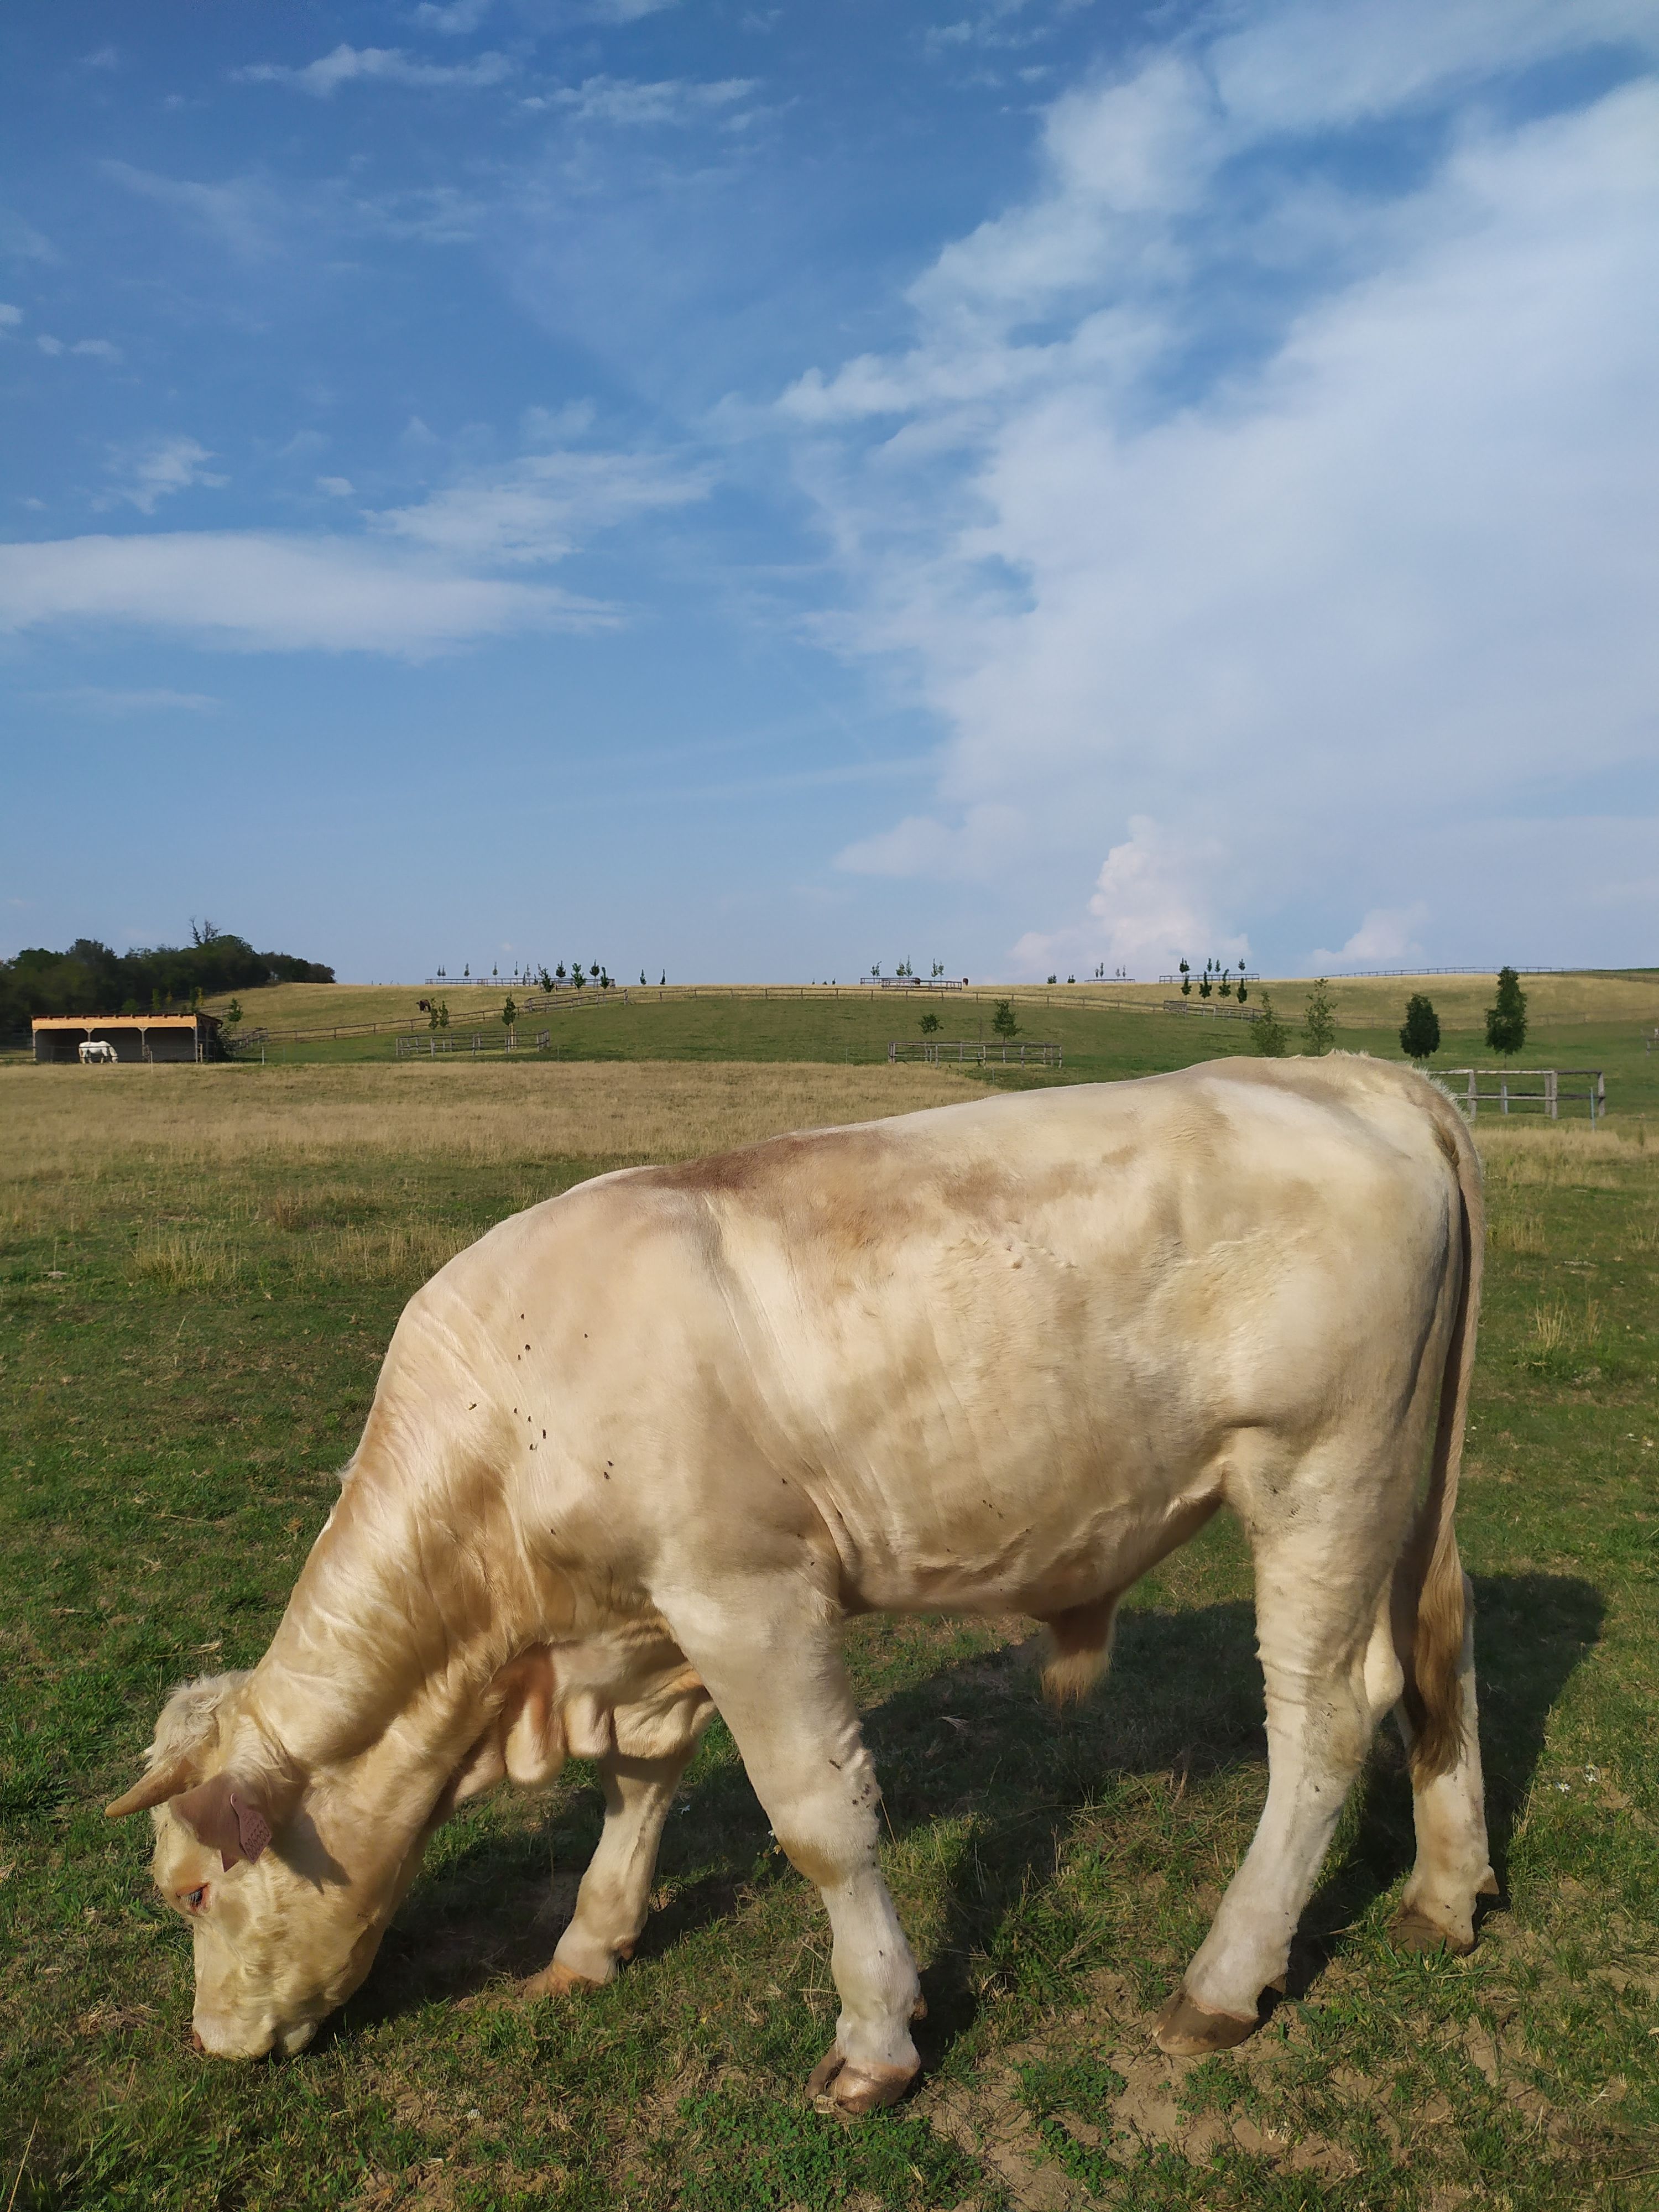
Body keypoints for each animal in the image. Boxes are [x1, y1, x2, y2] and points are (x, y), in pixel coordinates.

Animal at [106, 1056, 1494, 2106]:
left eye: (191, 1890)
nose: (212, 2042)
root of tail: (1338, 1072)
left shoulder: (747, 1595)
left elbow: (821, 1823)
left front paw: (878, 2041)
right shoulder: (651, 1622)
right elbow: (641, 1784)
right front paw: (590, 1939)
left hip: (1318, 1474)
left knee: (1324, 1715)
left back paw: (1222, 1980)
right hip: (1399, 1489)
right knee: (1442, 1654)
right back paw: (1445, 1890)